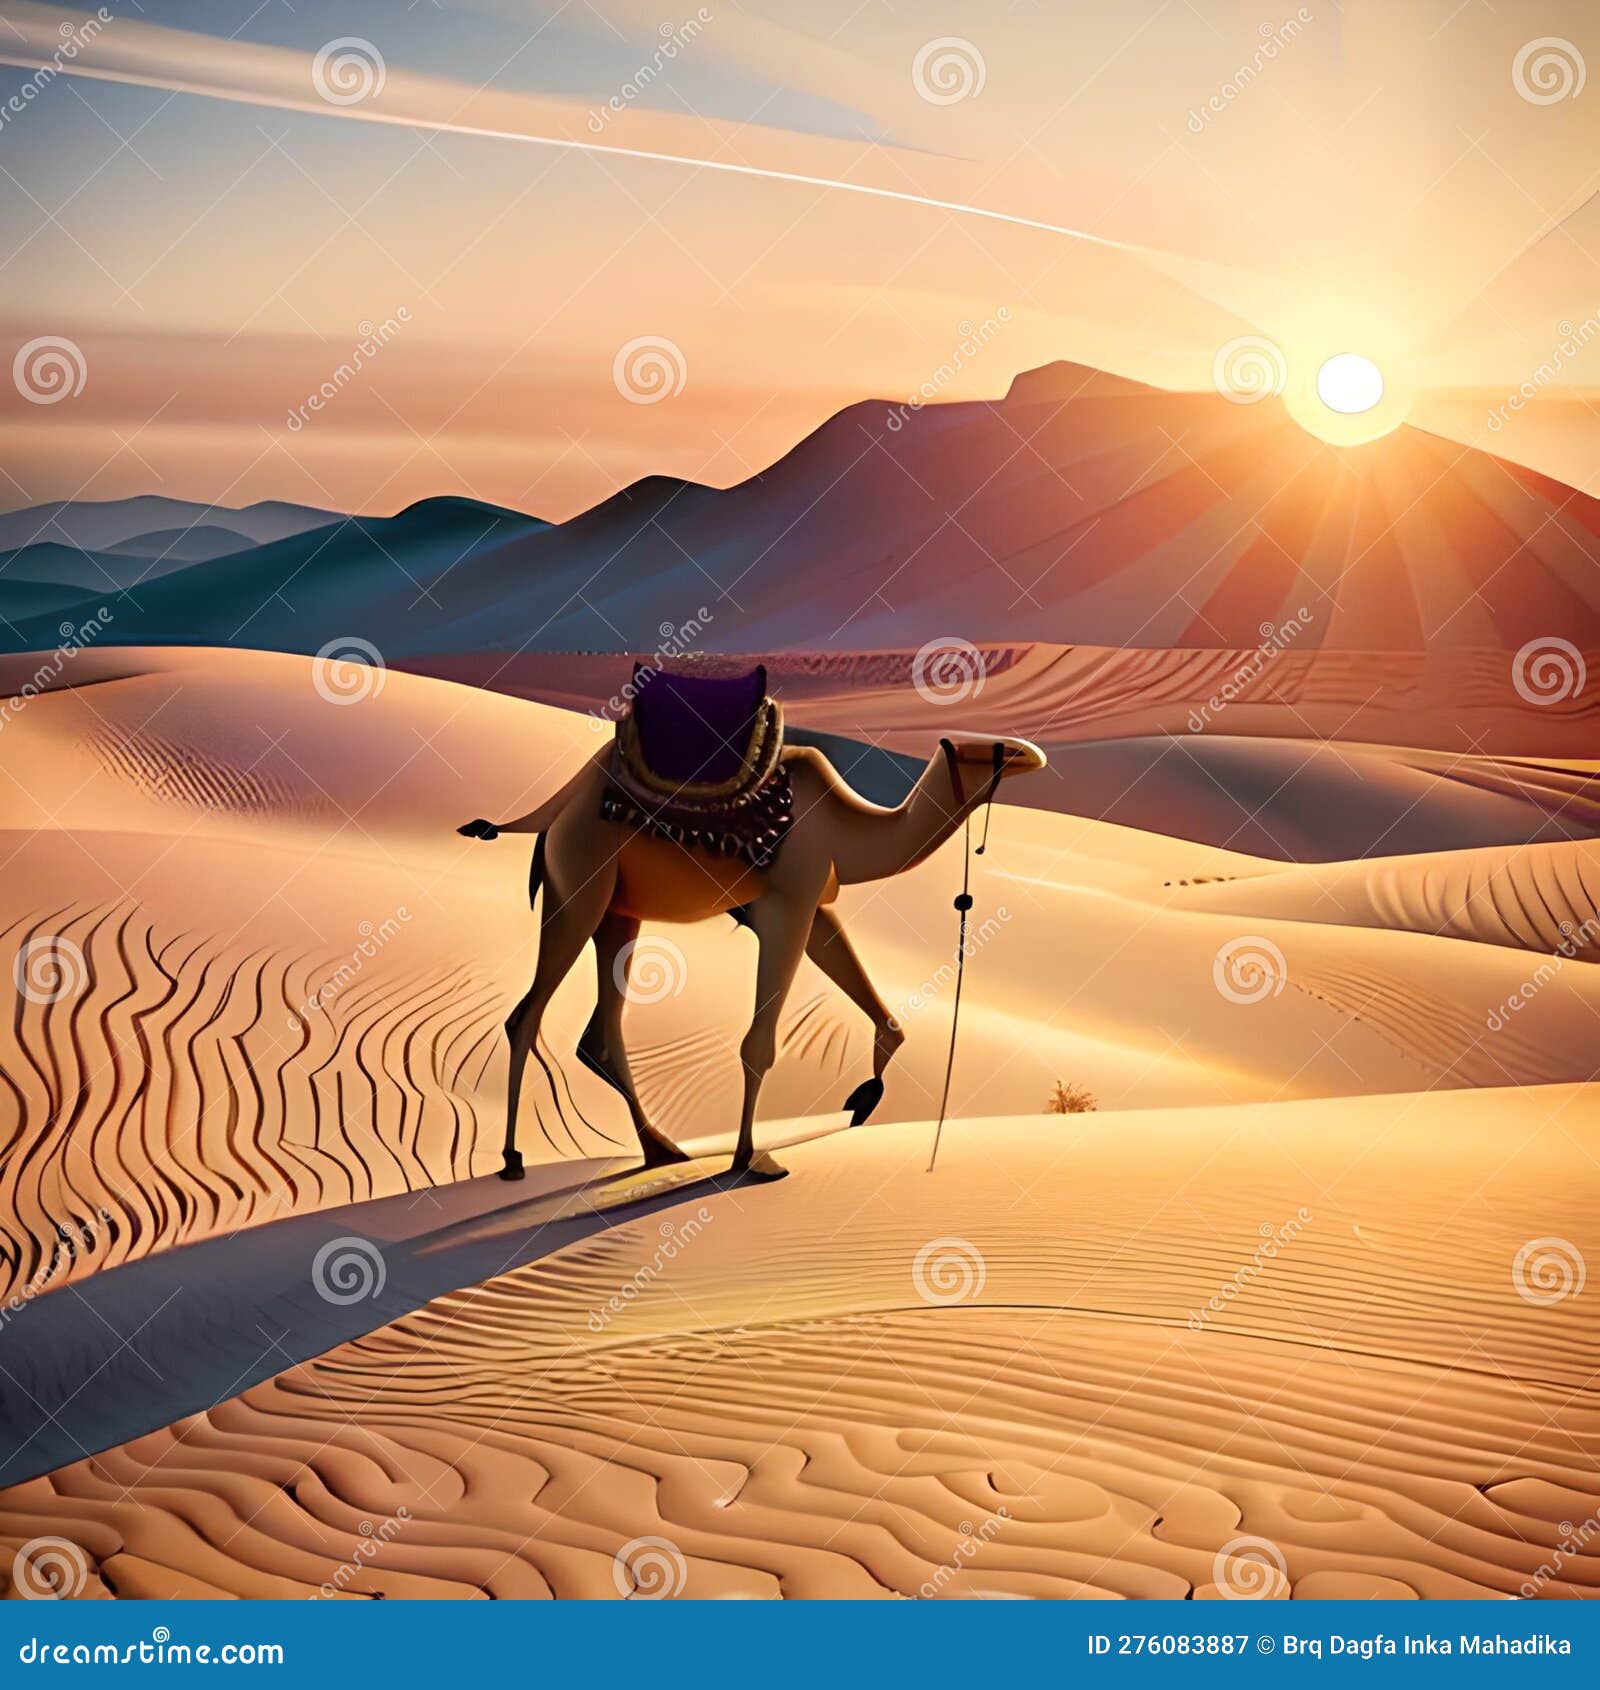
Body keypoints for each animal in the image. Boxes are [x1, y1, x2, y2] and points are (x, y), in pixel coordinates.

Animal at [460, 727, 1046, 1182]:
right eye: (990, 750)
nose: (1033, 754)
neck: (847, 829)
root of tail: (555, 807)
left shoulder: (807, 904)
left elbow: (859, 985)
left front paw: (867, 1094)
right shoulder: (791, 900)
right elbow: (759, 1044)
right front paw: (750, 1158)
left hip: (617, 906)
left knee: (600, 1032)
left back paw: (662, 1150)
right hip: (581, 876)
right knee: (528, 1015)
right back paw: (513, 1159)